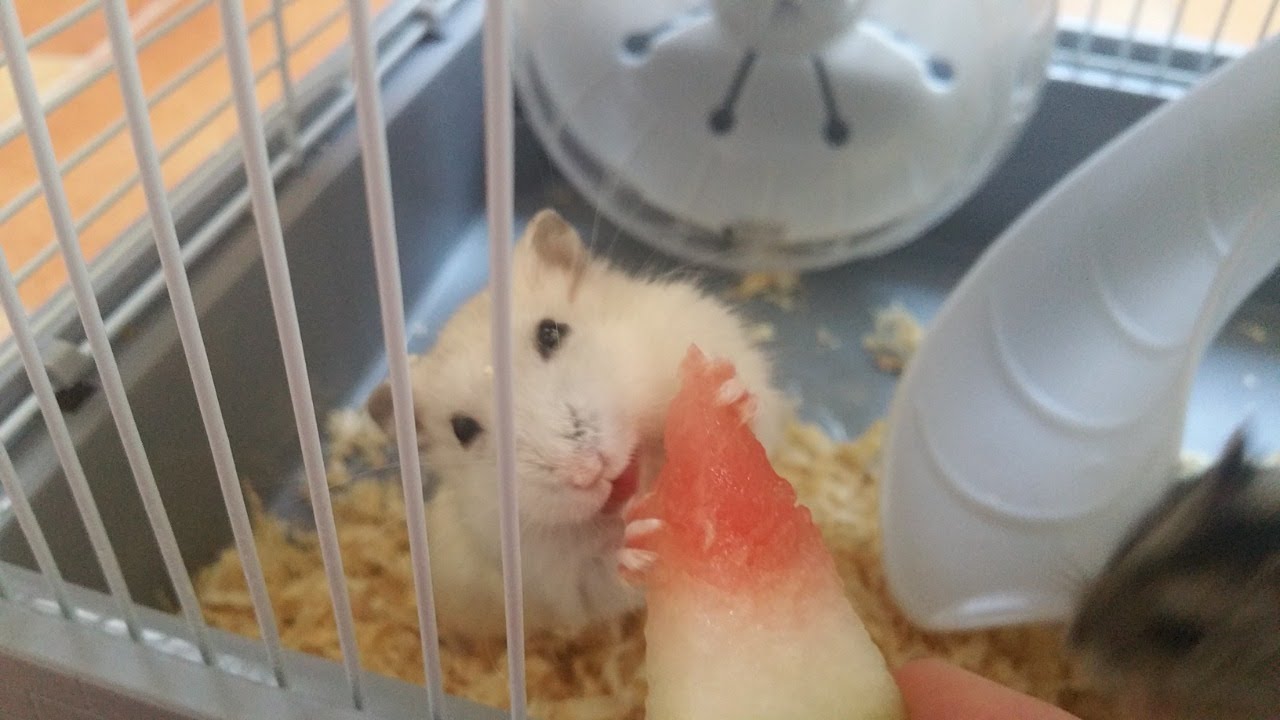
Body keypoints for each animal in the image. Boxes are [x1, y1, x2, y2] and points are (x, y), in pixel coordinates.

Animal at [366, 208, 788, 640]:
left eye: (551, 333)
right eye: (462, 429)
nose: (588, 470)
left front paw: (727, 395)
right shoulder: (541, 568)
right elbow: (596, 569)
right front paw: (640, 540)